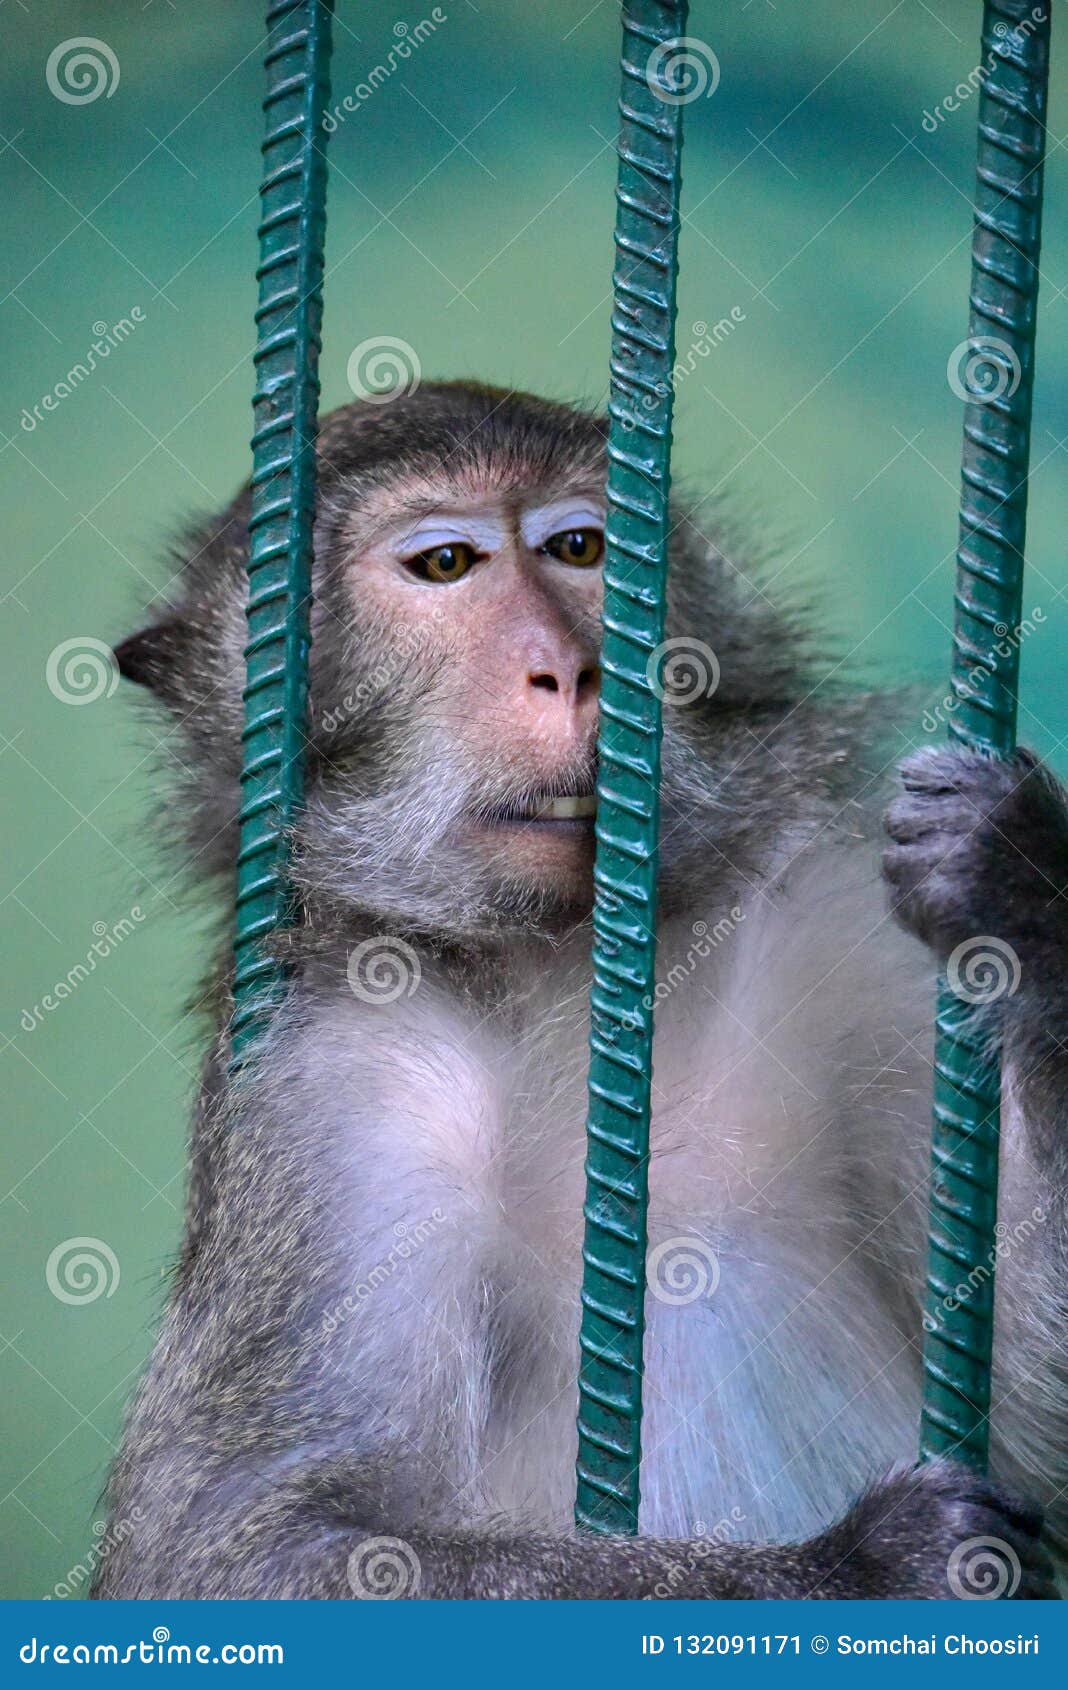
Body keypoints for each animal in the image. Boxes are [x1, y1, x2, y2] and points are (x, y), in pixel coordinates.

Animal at [91, 381, 1066, 1600]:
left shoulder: (834, 920)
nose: (567, 670)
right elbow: (235, 1537)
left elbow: (1040, 1410)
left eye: (582, 549)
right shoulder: (331, 1071)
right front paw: (866, 1567)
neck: (564, 971)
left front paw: (1023, 884)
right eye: (445, 564)